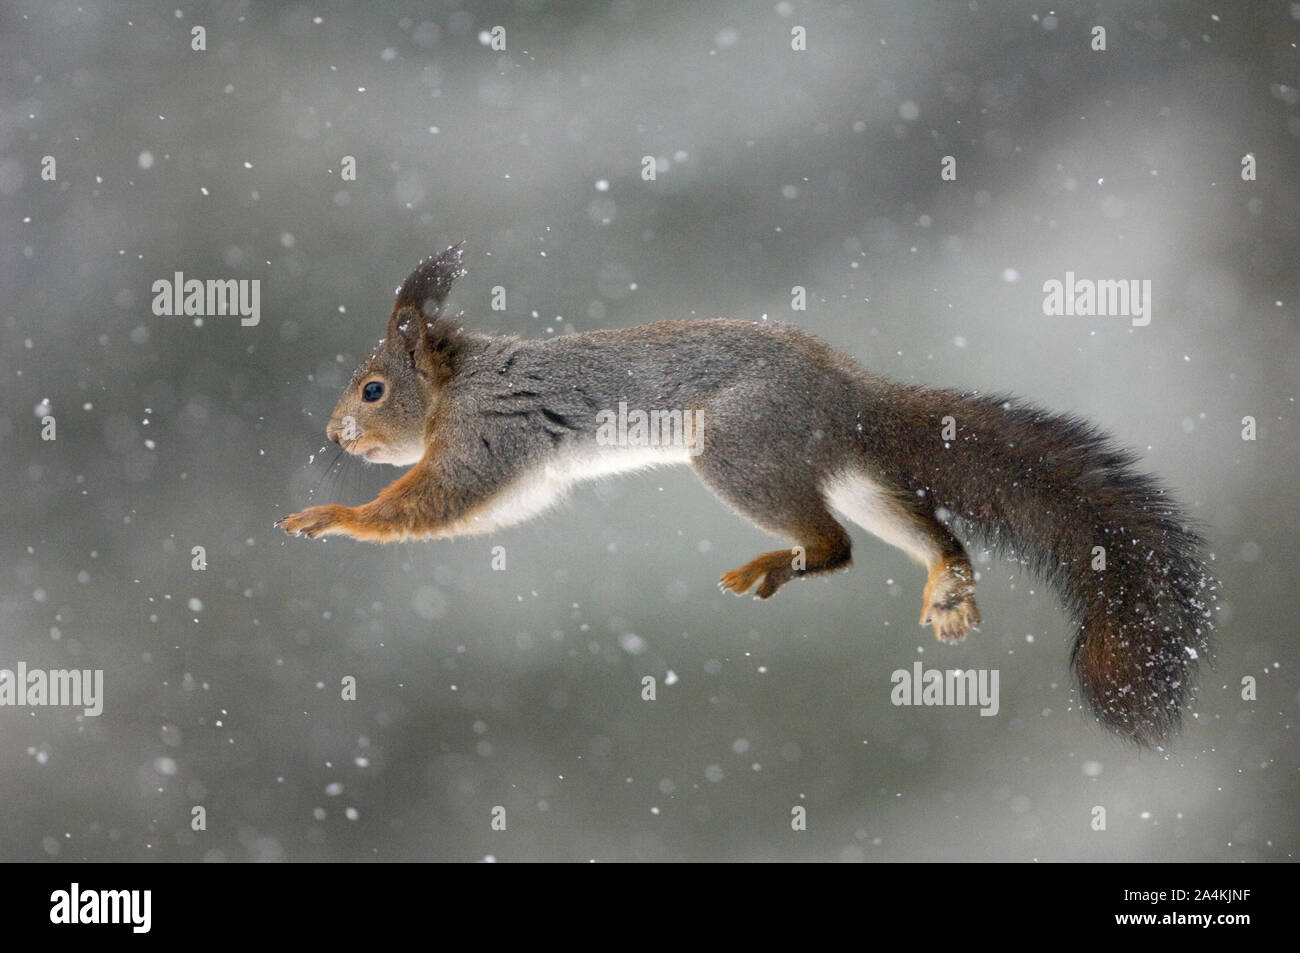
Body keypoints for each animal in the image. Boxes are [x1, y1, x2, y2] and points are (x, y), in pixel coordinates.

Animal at [278, 244, 1215, 745]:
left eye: (372, 389)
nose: (334, 434)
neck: (458, 382)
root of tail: (854, 395)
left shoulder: (488, 438)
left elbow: (434, 502)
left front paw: (335, 516)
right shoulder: (521, 469)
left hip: (739, 452)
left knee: (834, 546)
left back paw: (775, 565)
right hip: (846, 473)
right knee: (916, 531)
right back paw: (945, 580)